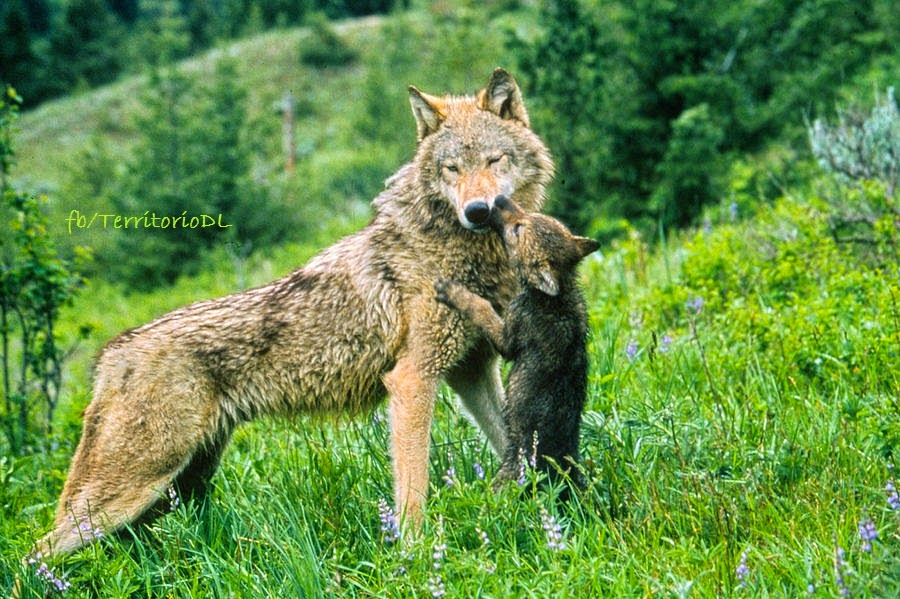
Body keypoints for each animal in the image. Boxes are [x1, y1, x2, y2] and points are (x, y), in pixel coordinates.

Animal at [33, 68, 554, 558]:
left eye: (494, 160)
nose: (478, 211)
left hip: (175, 489)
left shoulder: (470, 371)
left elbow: (515, 443)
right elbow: (413, 492)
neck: (459, 250)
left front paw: (537, 504)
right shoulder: (412, 379)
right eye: (451, 168)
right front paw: (415, 555)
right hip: (130, 494)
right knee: (35, 552)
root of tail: (110, 355)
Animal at [435, 195, 598, 490]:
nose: (498, 199)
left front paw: (454, 291)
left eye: (518, 229)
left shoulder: (508, 339)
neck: (556, 297)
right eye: (529, 217)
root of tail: (556, 473)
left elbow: (482, 307)